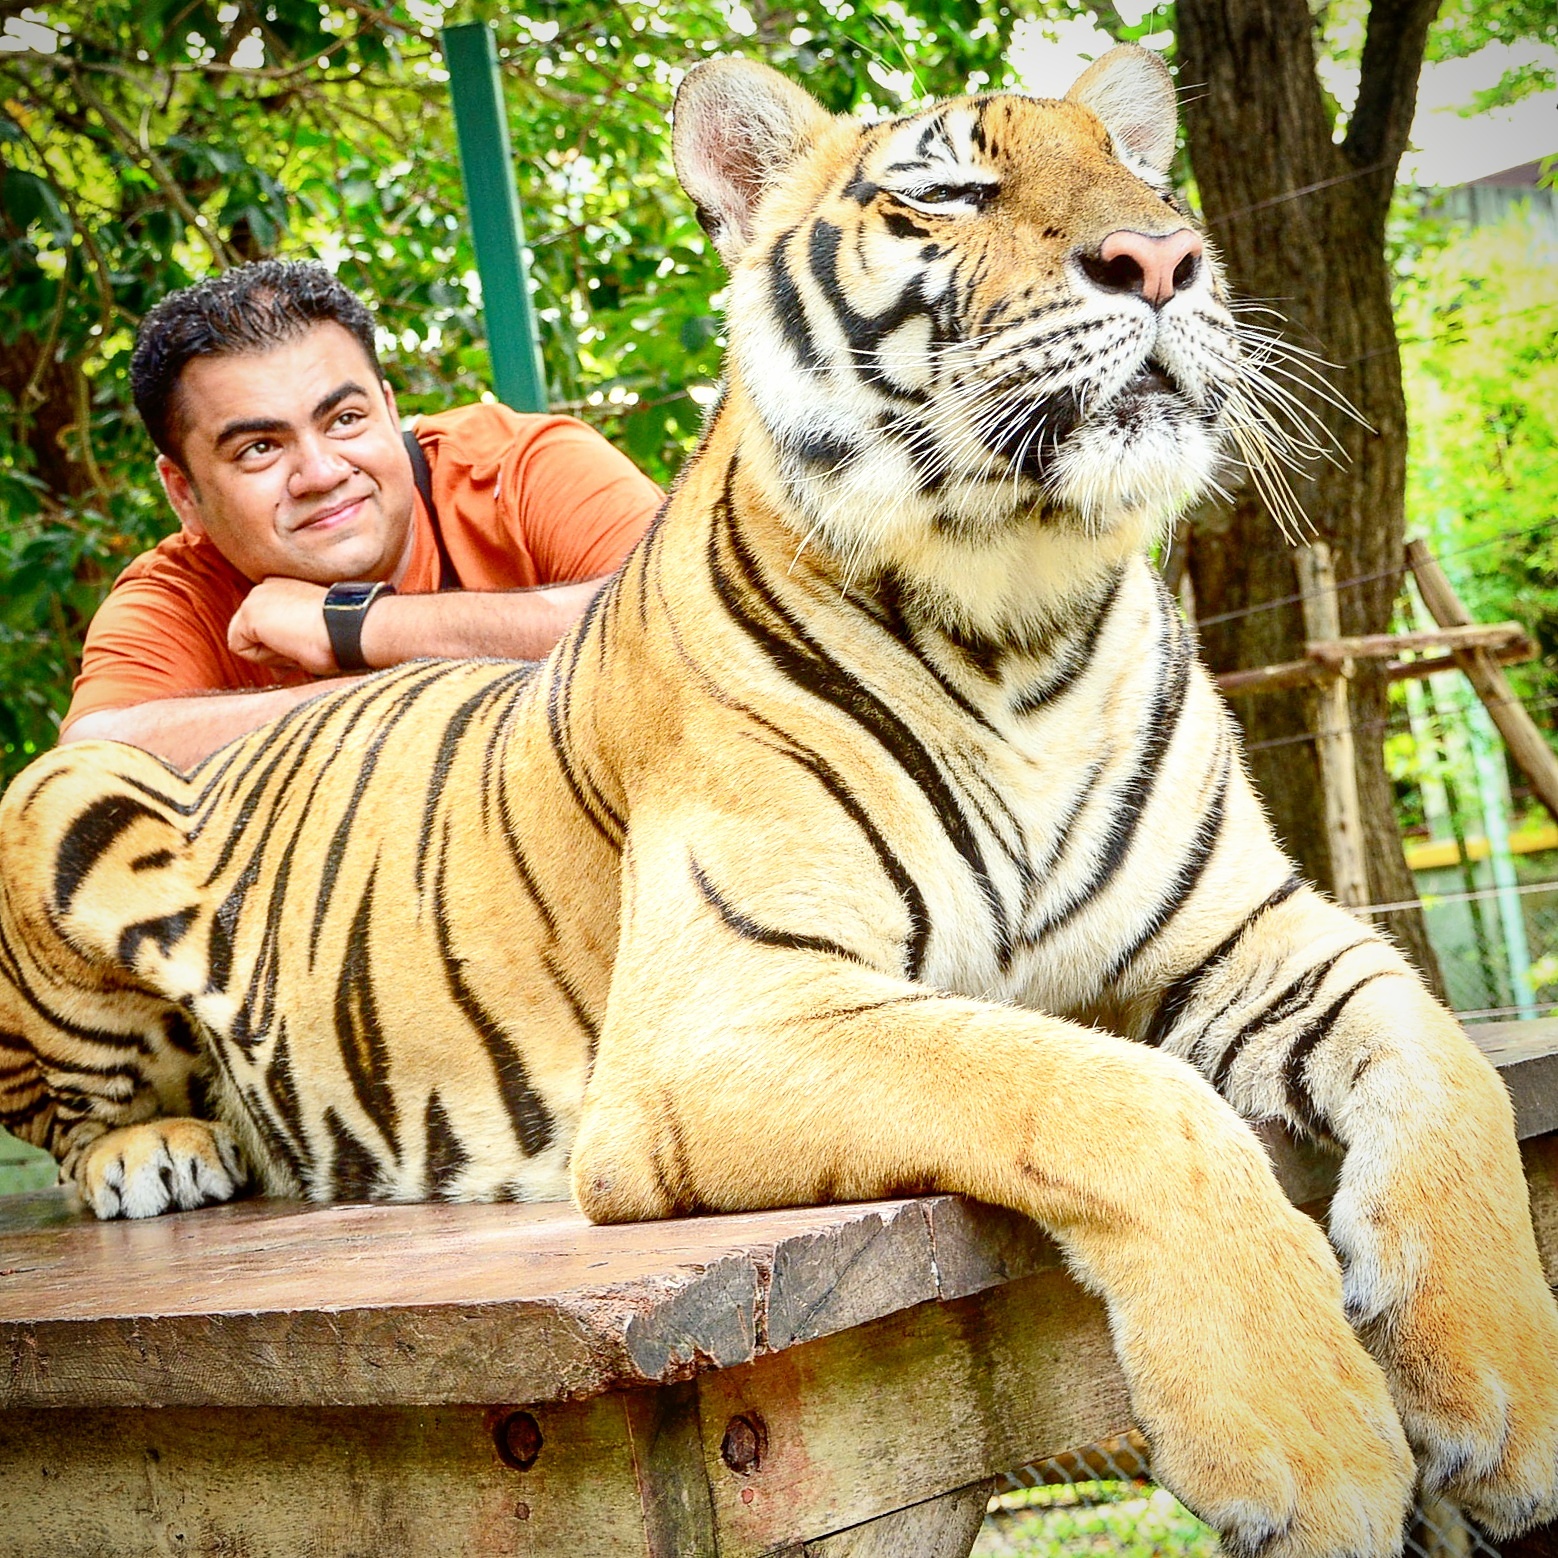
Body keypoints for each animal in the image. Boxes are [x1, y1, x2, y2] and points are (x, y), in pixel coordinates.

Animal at [1, 45, 1555, 1558]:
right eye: (949, 190)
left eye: (1143, 178)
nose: (1164, 259)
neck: (1027, 615)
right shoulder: (723, 1016)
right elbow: (1112, 1090)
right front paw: (1309, 1444)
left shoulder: (1252, 929)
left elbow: (1445, 1062)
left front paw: (1496, 1404)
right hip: (69, 786)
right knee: (79, 1113)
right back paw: (164, 1154)